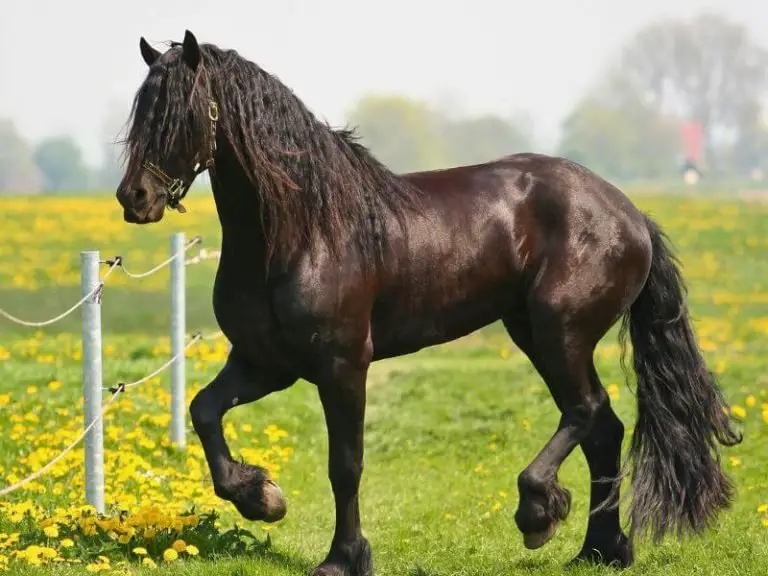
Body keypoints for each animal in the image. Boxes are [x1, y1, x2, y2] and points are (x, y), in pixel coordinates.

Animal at [115, 30, 741, 576]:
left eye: (179, 112)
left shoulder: (342, 366)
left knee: (587, 412)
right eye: (140, 109)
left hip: (559, 332)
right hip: (534, 333)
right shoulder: (264, 364)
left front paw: (343, 558)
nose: (133, 198)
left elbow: (345, 465)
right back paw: (600, 551)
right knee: (602, 428)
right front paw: (263, 497)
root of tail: (629, 214)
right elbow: (204, 410)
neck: (300, 232)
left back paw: (539, 513)